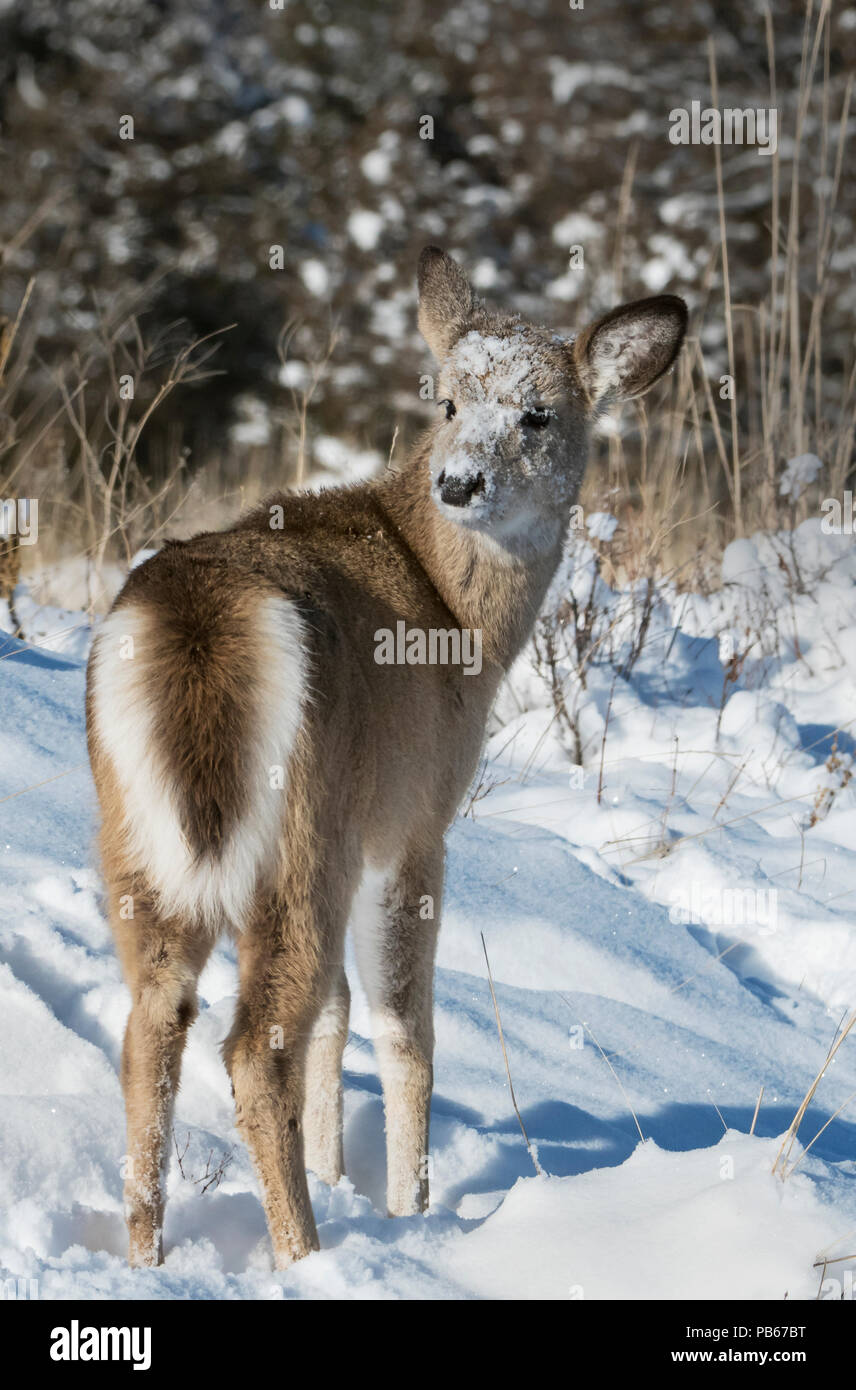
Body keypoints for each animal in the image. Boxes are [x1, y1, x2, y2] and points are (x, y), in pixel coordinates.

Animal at [86, 247, 686, 1269]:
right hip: (300, 839)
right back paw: (305, 1252)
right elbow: (406, 1026)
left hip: (135, 842)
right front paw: (412, 1208)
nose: (460, 482)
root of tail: (198, 627)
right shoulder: (413, 818)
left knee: (154, 1025)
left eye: (538, 414)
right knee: (253, 1046)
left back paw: (150, 1257)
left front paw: (340, 1171)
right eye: (446, 400)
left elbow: (337, 1018)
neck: (459, 620)